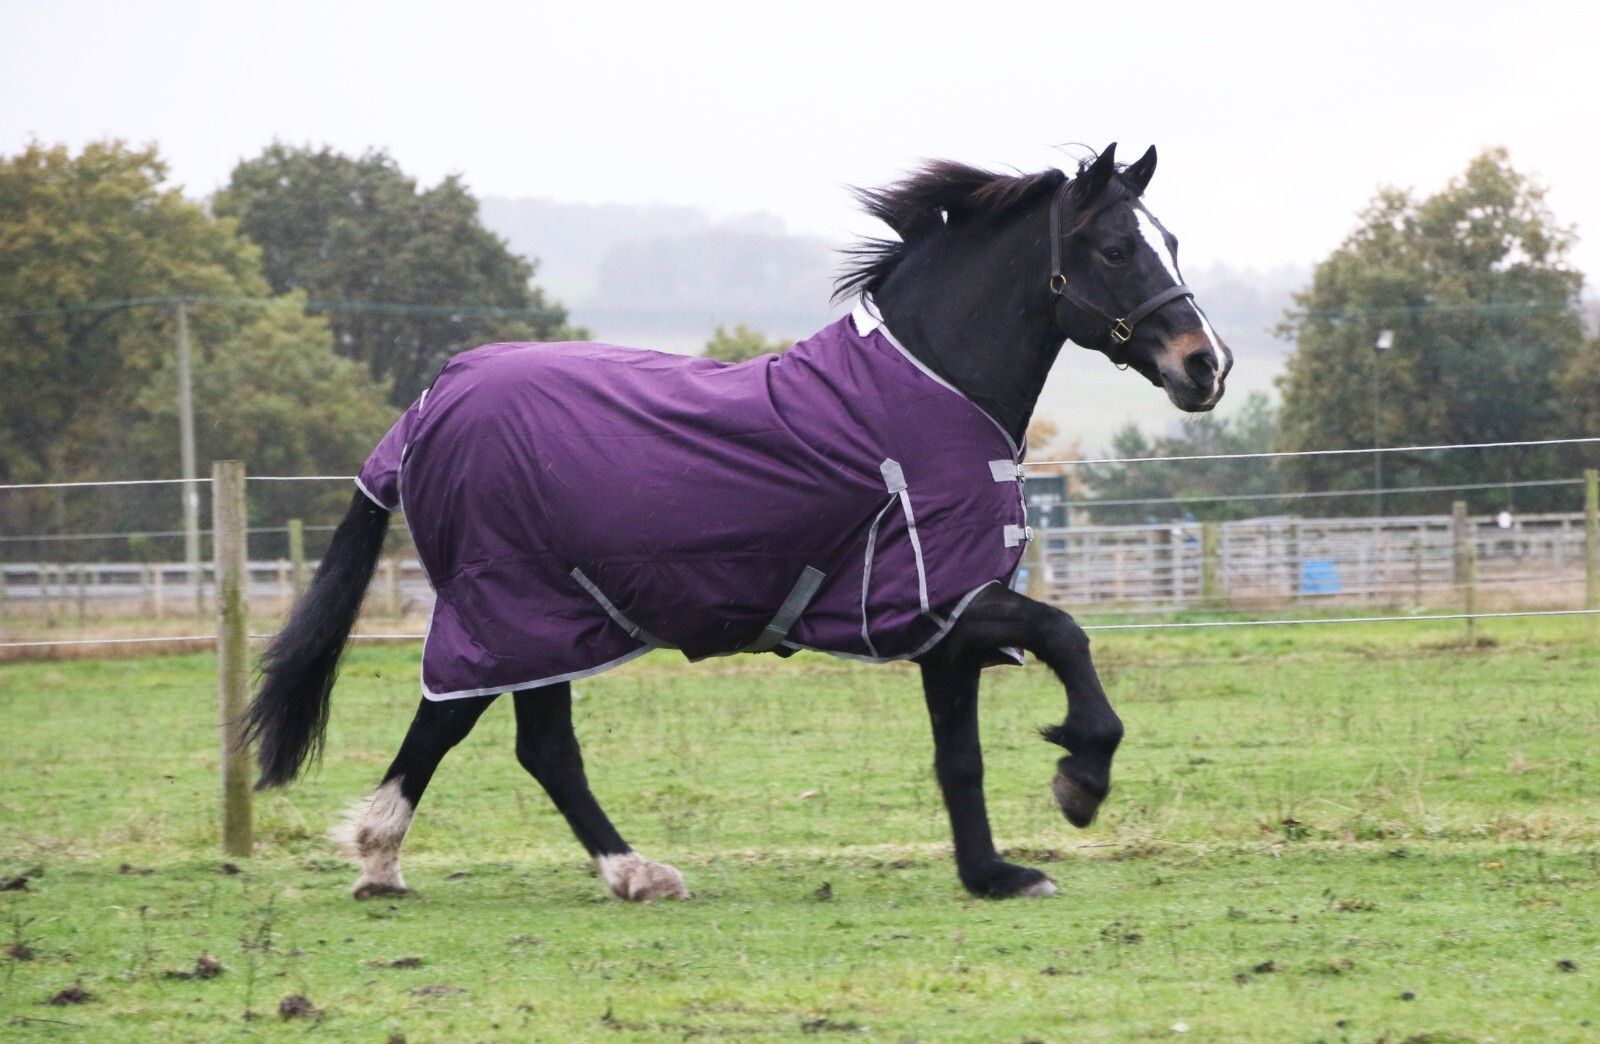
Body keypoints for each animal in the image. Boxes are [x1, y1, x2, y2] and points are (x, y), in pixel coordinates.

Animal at [241, 143, 1232, 901]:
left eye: (1173, 241)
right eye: (1115, 248)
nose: (1206, 364)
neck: (931, 390)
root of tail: (427, 404)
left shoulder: (946, 621)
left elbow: (960, 757)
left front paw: (992, 874)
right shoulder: (939, 597)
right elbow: (1067, 637)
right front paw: (1080, 780)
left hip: (548, 620)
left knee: (526, 743)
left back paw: (581, 870)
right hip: (515, 610)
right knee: (480, 731)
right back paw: (442, 864)